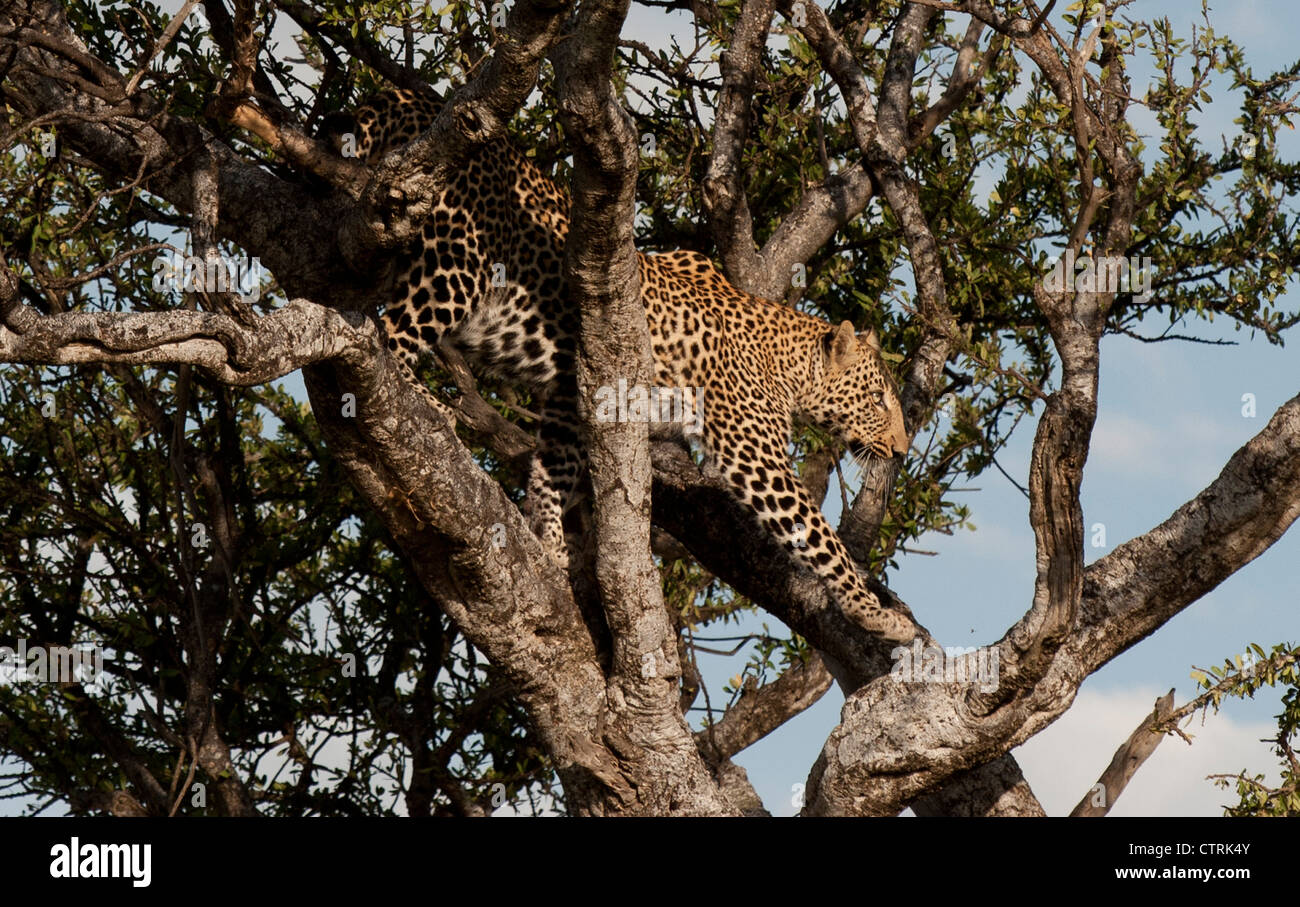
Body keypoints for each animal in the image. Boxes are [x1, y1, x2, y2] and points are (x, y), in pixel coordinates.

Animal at [320, 89, 916, 643]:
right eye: (879, 399)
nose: (902, 451)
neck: (787, 361)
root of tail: (422, 100)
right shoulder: (753, 453)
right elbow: (818, 536)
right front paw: (876, 614)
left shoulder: (568, 395)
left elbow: (553, 468)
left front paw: (550, 546)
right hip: (456, 270)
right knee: (383, 338)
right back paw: (428, 403)